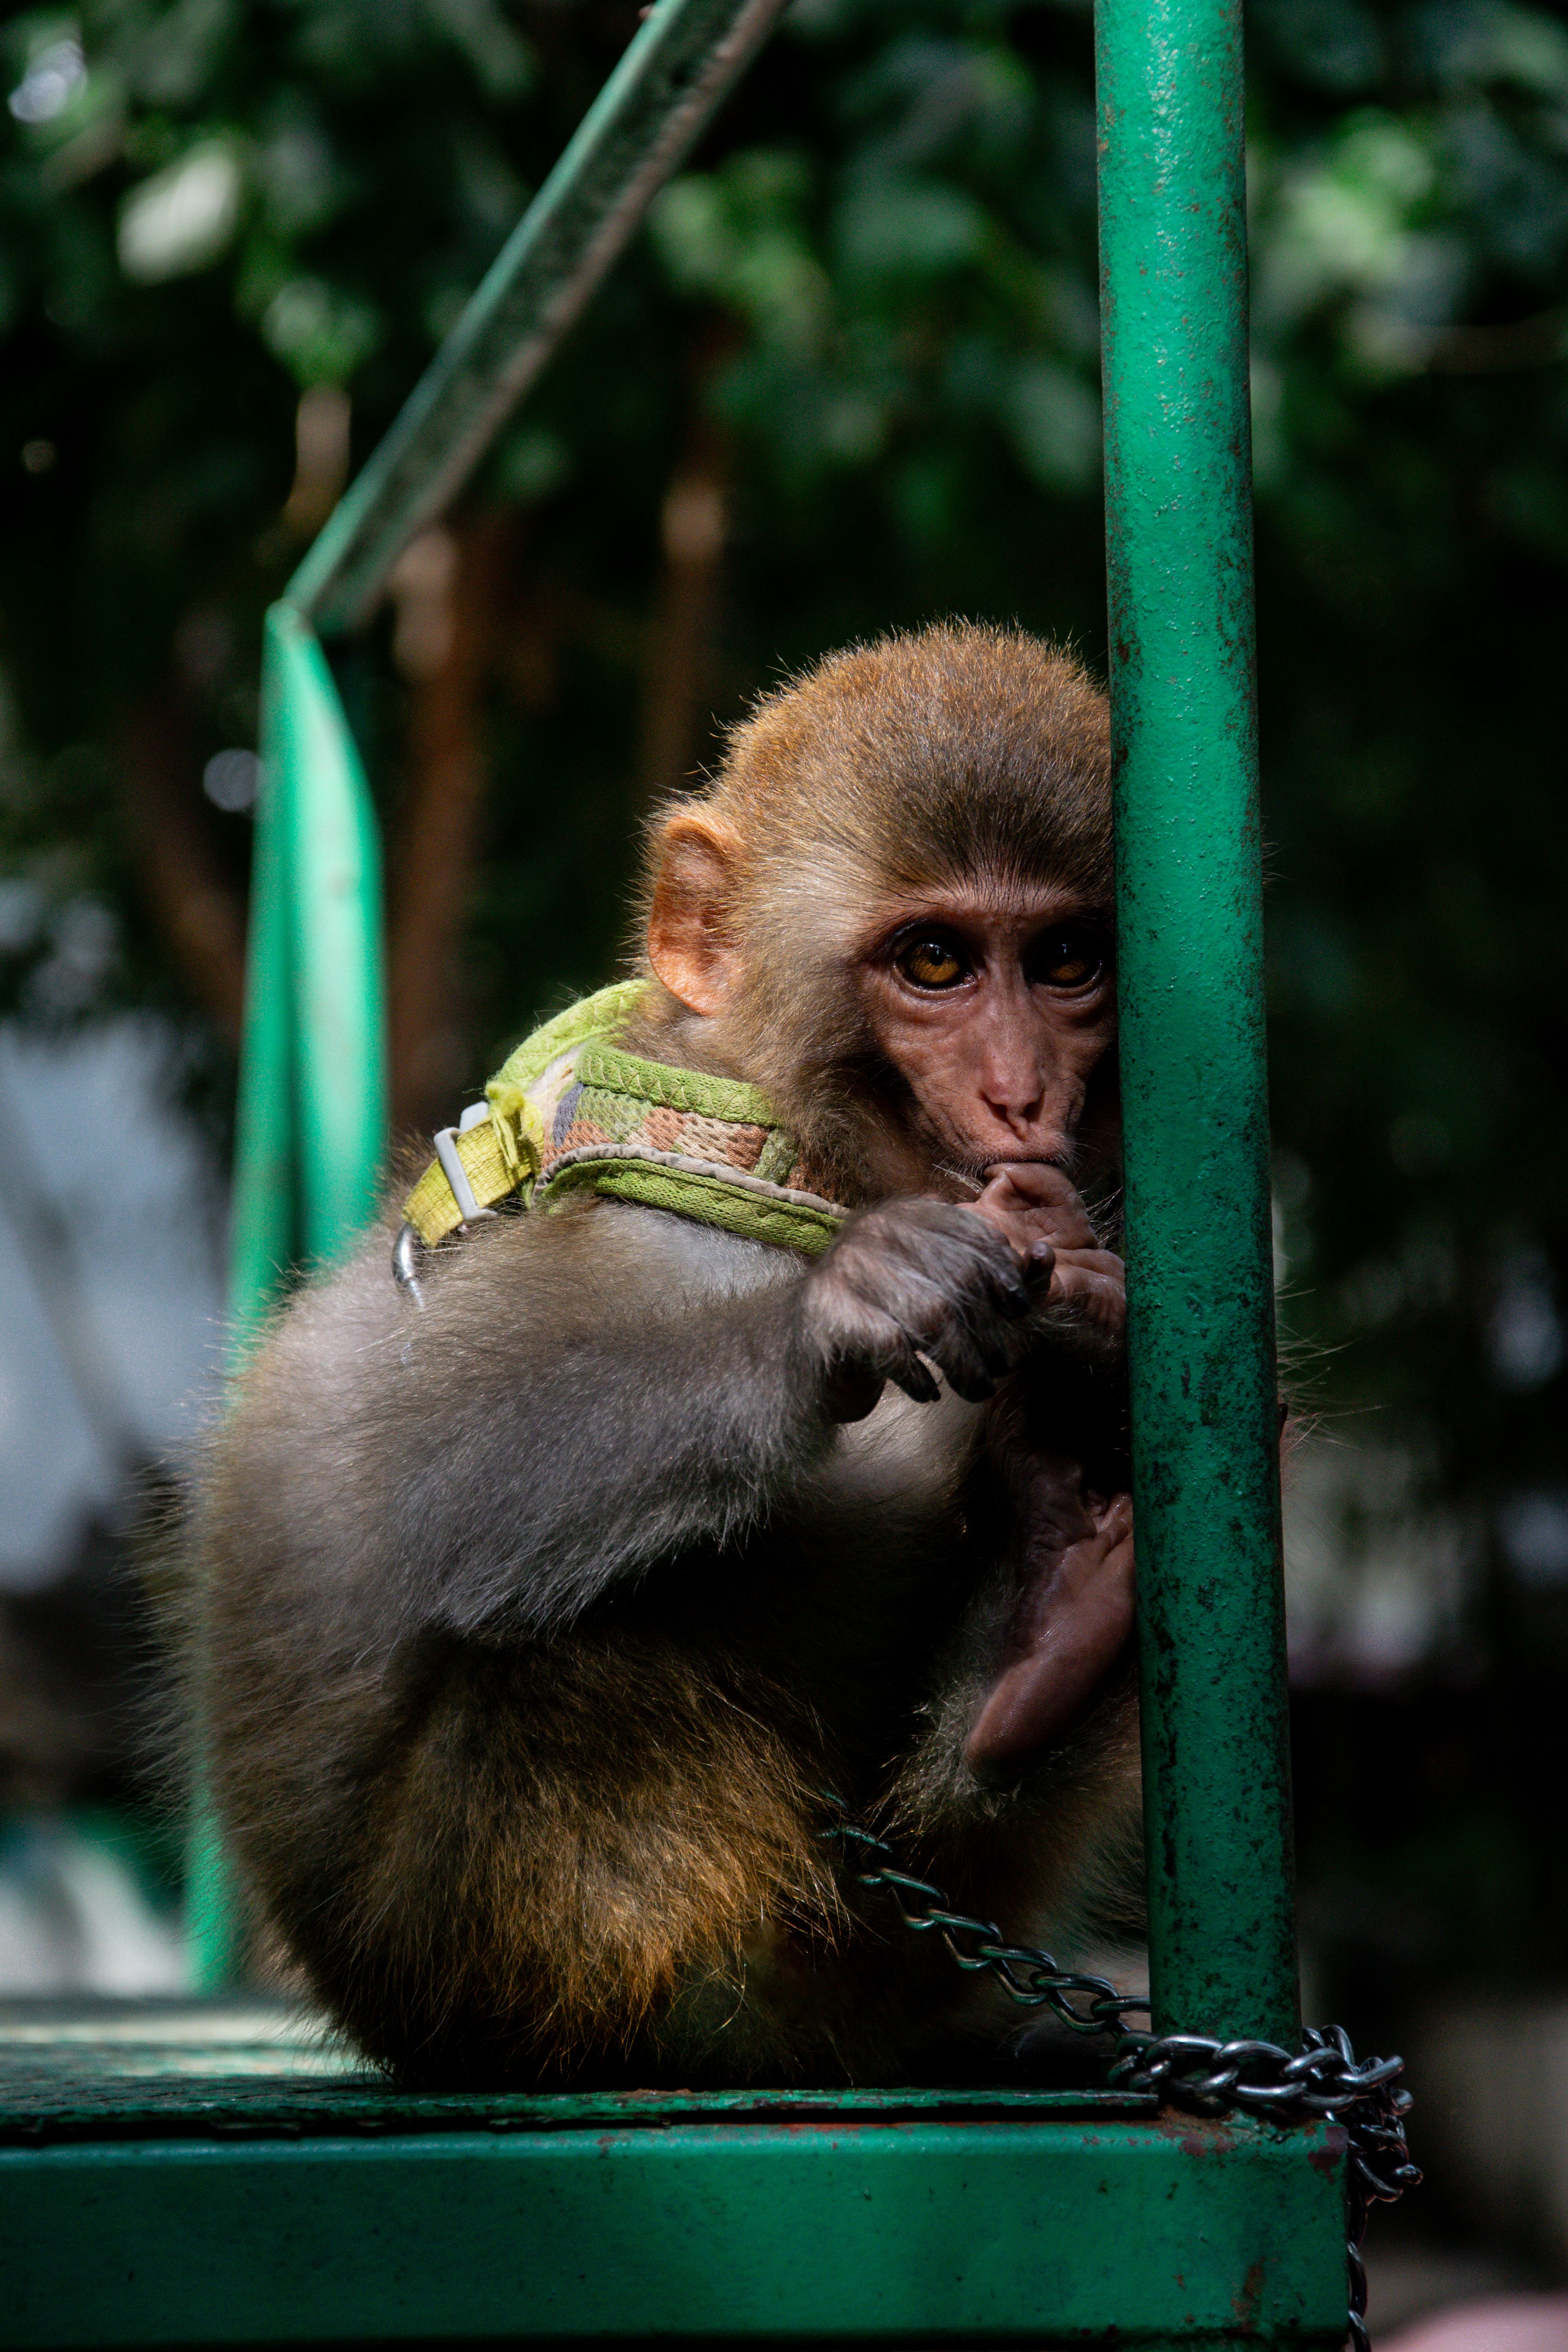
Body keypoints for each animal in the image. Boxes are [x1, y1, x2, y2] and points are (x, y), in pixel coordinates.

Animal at [194, 621, 1148, 2090]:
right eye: (935, 962)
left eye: (1063, 962)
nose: (1021, 1096)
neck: (775, 1156)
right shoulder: (634, 1246)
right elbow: (408, 1491)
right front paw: (843, 1307)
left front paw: (1086, 1306)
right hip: (494, 1950)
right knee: (564, 1643)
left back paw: (1042, 1648)